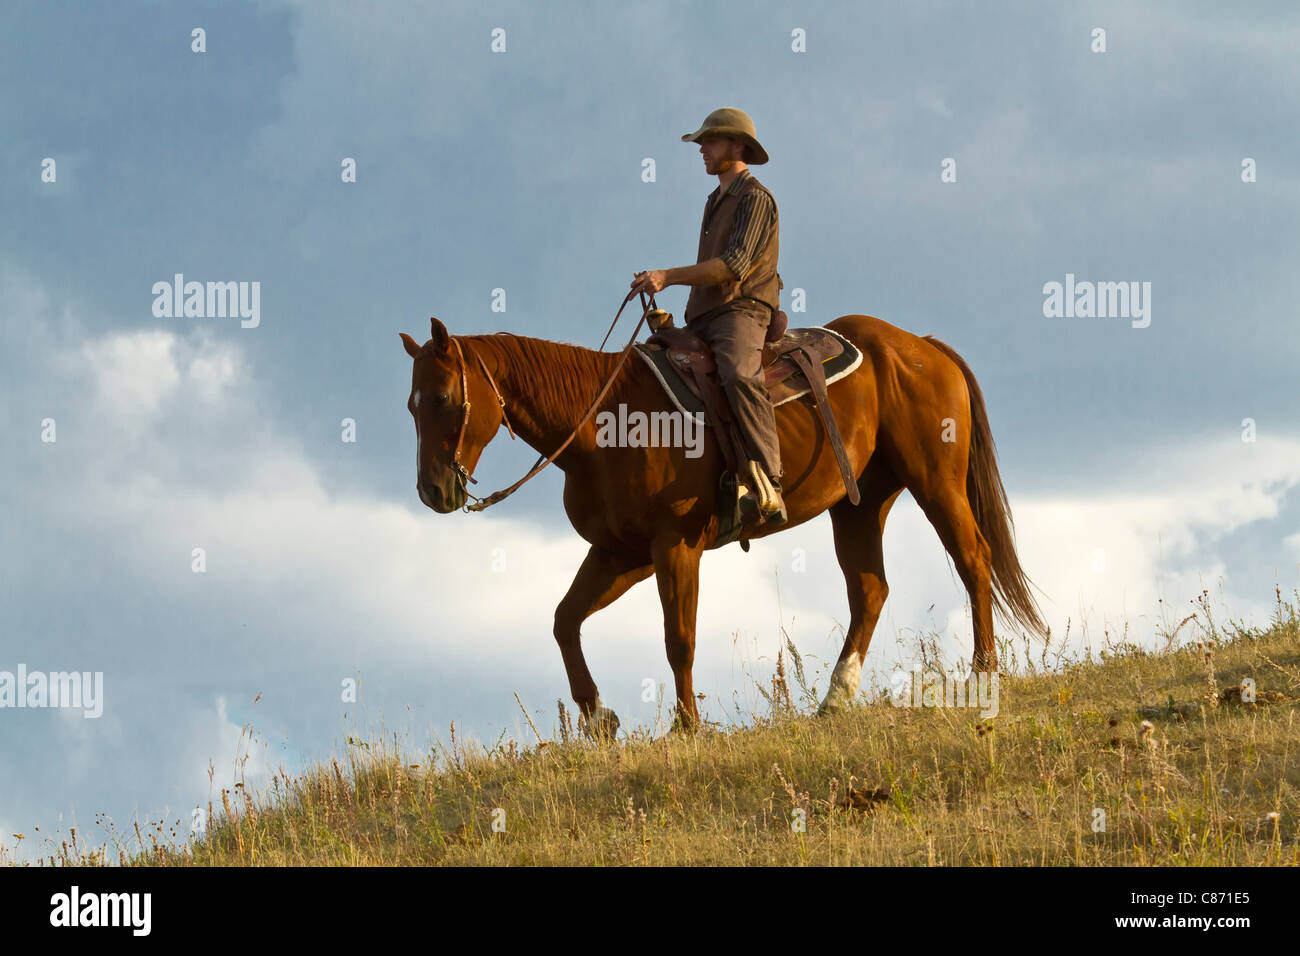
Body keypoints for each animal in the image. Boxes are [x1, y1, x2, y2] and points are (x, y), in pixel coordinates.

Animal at [399, 313, 1046, 736]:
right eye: (412, 404)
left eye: (444, 399)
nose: (432, 491)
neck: (604, 424)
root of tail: (921, 346)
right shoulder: (620, 555)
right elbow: (564, 621)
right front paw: (600, 718)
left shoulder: (674, 547)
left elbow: (678, 638)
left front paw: (686, 726)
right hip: (859, 503)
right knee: (870, 590)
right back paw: (836, 700)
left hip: (934, 481)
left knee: (973, 559)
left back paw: (983, 676)